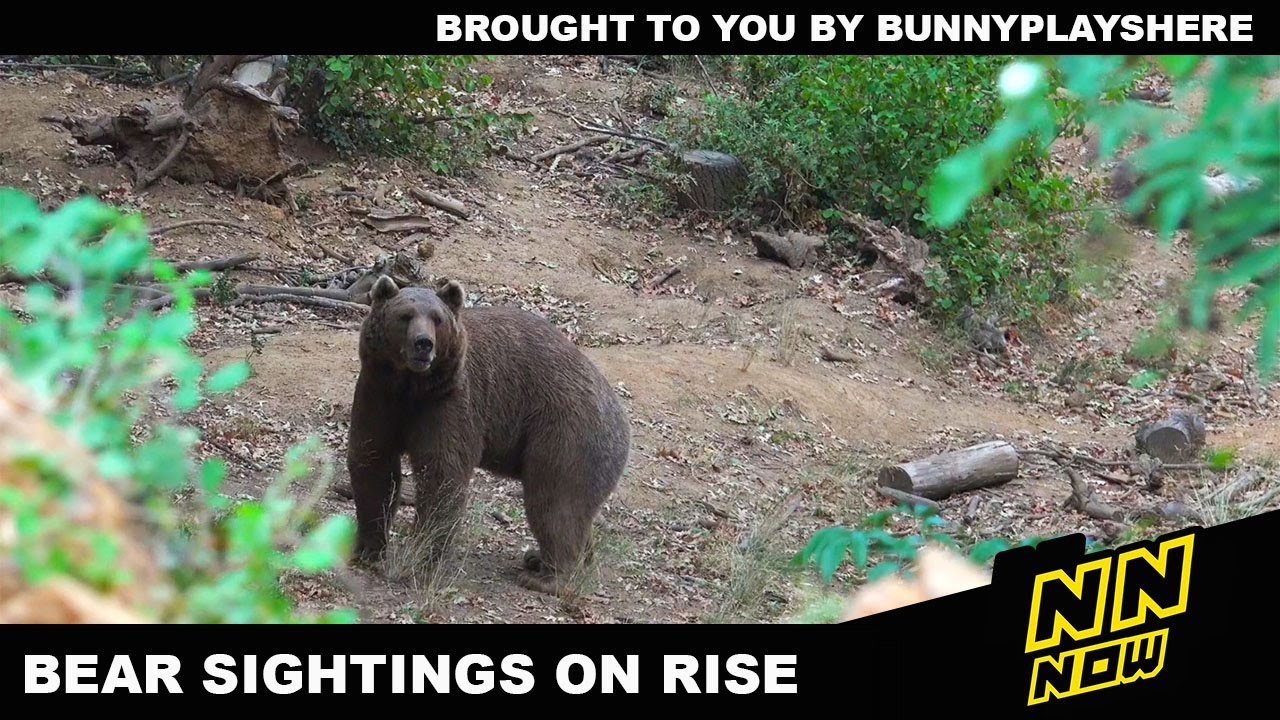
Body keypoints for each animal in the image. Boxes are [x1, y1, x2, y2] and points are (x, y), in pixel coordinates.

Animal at [346, 275, 631, 596]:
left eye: (437, 319)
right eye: (405, 315)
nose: (423, 344)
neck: (411, 386)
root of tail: (621, 418)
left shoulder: (451, 402)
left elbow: (442, 474)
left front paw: (423, 556)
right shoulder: (378, 393)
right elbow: (373, 461)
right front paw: (368, 548)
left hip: (566, 432)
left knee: (555, 502)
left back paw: (548, 576)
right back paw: (552, 559)